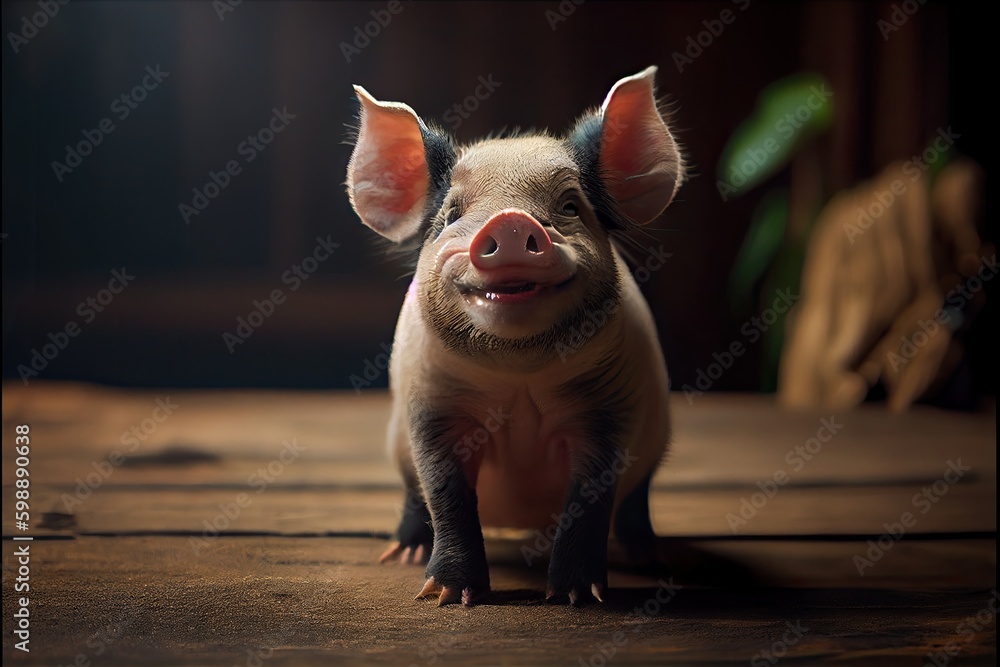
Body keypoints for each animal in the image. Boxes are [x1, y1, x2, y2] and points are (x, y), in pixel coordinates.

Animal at [346, 66, 683, 606]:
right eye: (452, 214)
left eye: (570, 207)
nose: (509, 222)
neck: (517, 374)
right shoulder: (430, 407)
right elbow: (445, 492)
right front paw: (444, 596)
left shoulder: (610, 409)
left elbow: (591, 498)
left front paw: (574, 597)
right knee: (414, 499)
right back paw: (401, 555)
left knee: (635, 504)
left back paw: (649, 558)